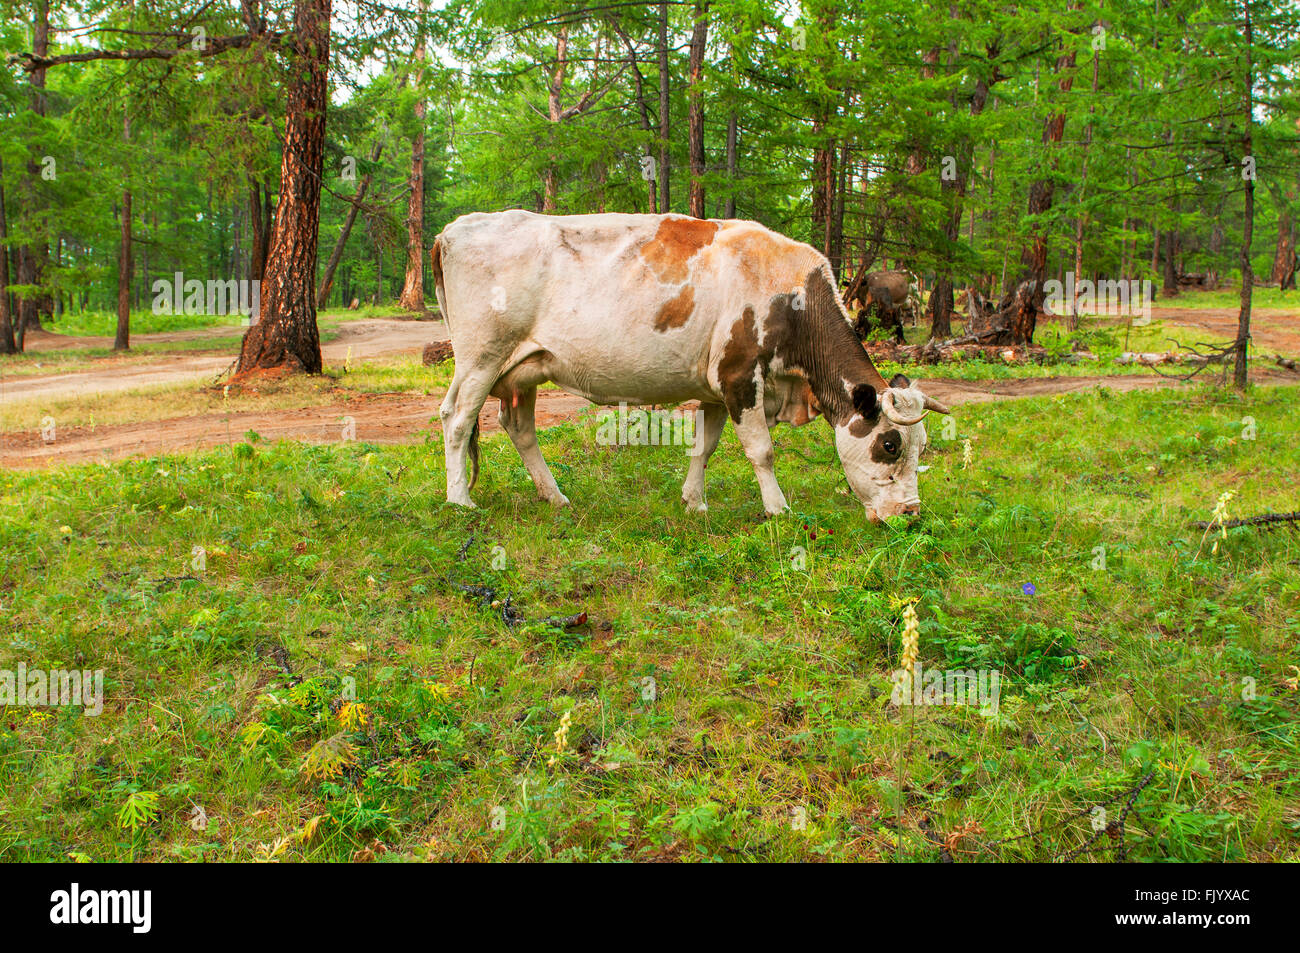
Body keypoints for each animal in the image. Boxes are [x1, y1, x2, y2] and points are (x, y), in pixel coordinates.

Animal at [430, 211, 951, 522]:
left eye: (922, 447)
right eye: (889, 443)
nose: (911, 513)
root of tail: (453, 229)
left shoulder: (715, 387)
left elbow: (704, 446)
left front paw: (694, 502)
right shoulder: (740, 377)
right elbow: (762, 451)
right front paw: (777, 509)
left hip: (524, 368)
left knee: (518, 427)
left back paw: (554, 496)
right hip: (481, 356)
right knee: (456, 419)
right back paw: (460, 500)